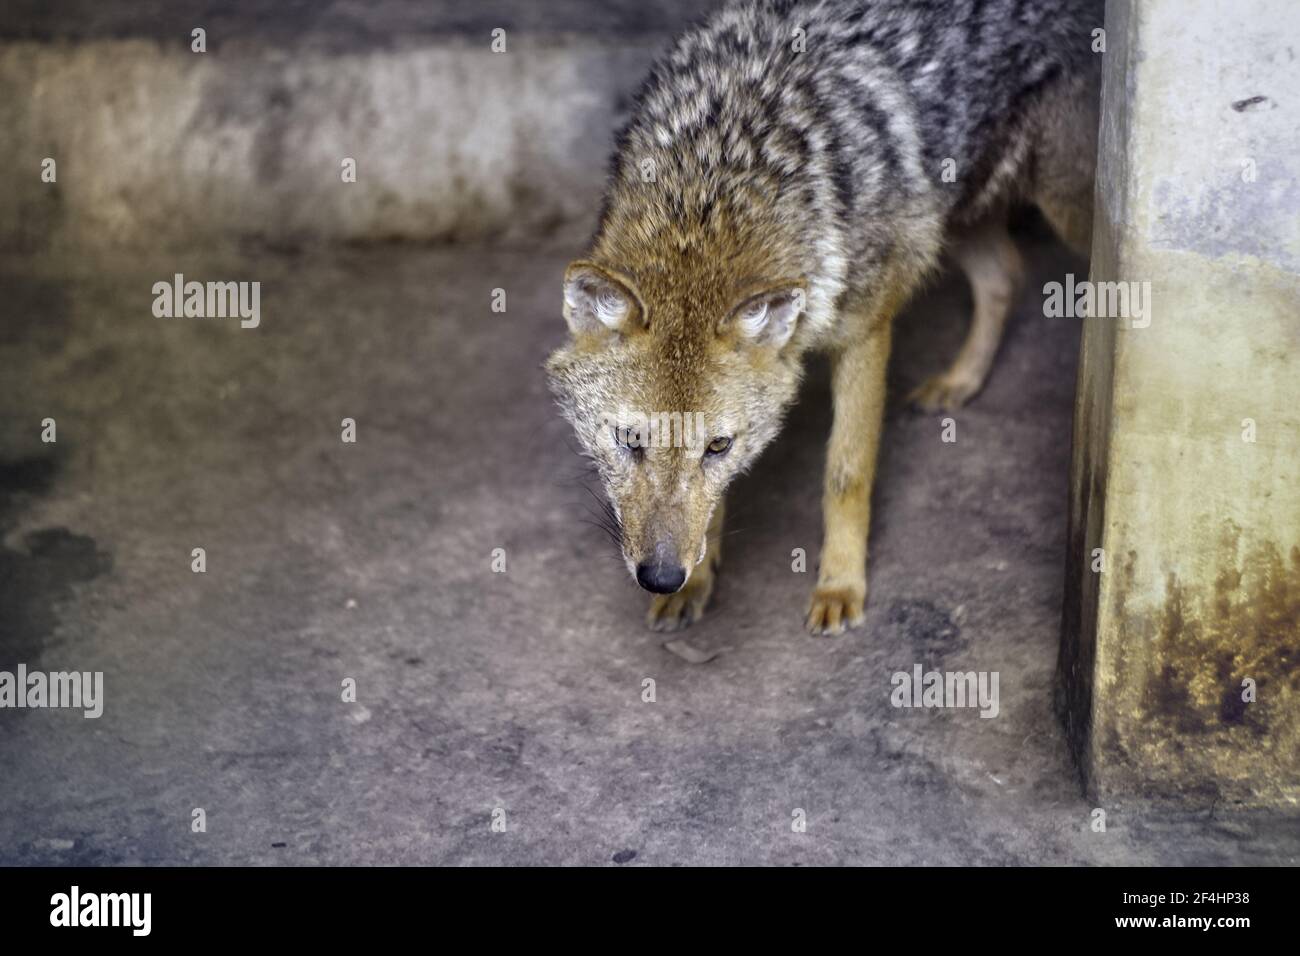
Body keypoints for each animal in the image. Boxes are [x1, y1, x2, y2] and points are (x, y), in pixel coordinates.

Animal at [546, 0, 1101, 634]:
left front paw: (839, 586)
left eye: (718, 446)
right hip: (954, 216)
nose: (661, 575)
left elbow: (846, 474)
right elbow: (711, 510)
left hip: (1061, 211)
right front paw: (699, 582)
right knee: (1005, 274)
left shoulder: (866, 333)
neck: (718, 177)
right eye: (630, 440)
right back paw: (959, 383)